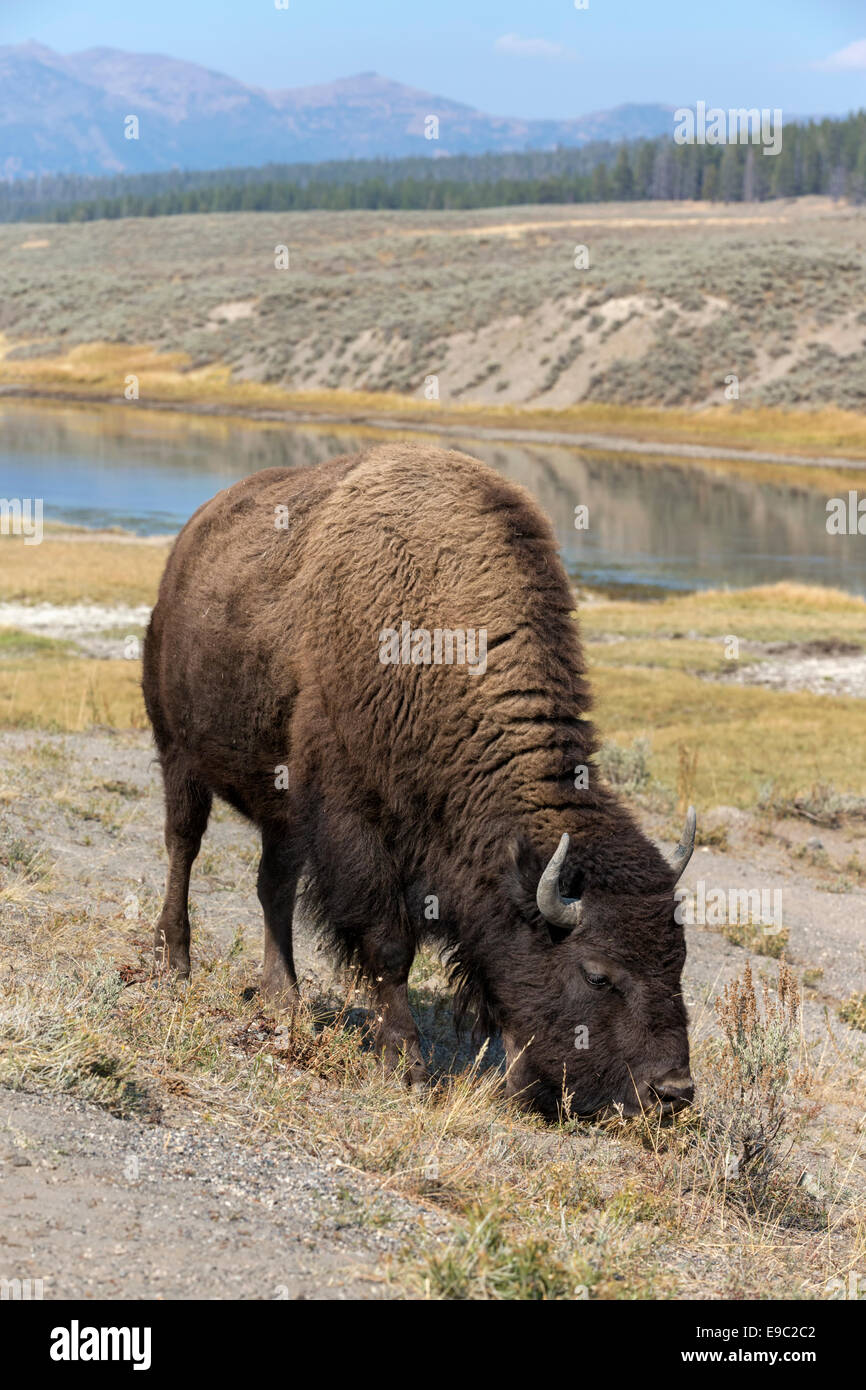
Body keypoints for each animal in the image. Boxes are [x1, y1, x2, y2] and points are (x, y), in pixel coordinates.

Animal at [142, 443, 696, 1119]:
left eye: (680, 958)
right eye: (598, 974)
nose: (674, 1090)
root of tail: (191, 541)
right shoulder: (356, 826)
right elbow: (389, 946)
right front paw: (405, 1064)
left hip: (281, 815)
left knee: (272, 886)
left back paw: (282, 998)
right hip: (180, 759)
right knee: (183, 846)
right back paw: (175, 963)